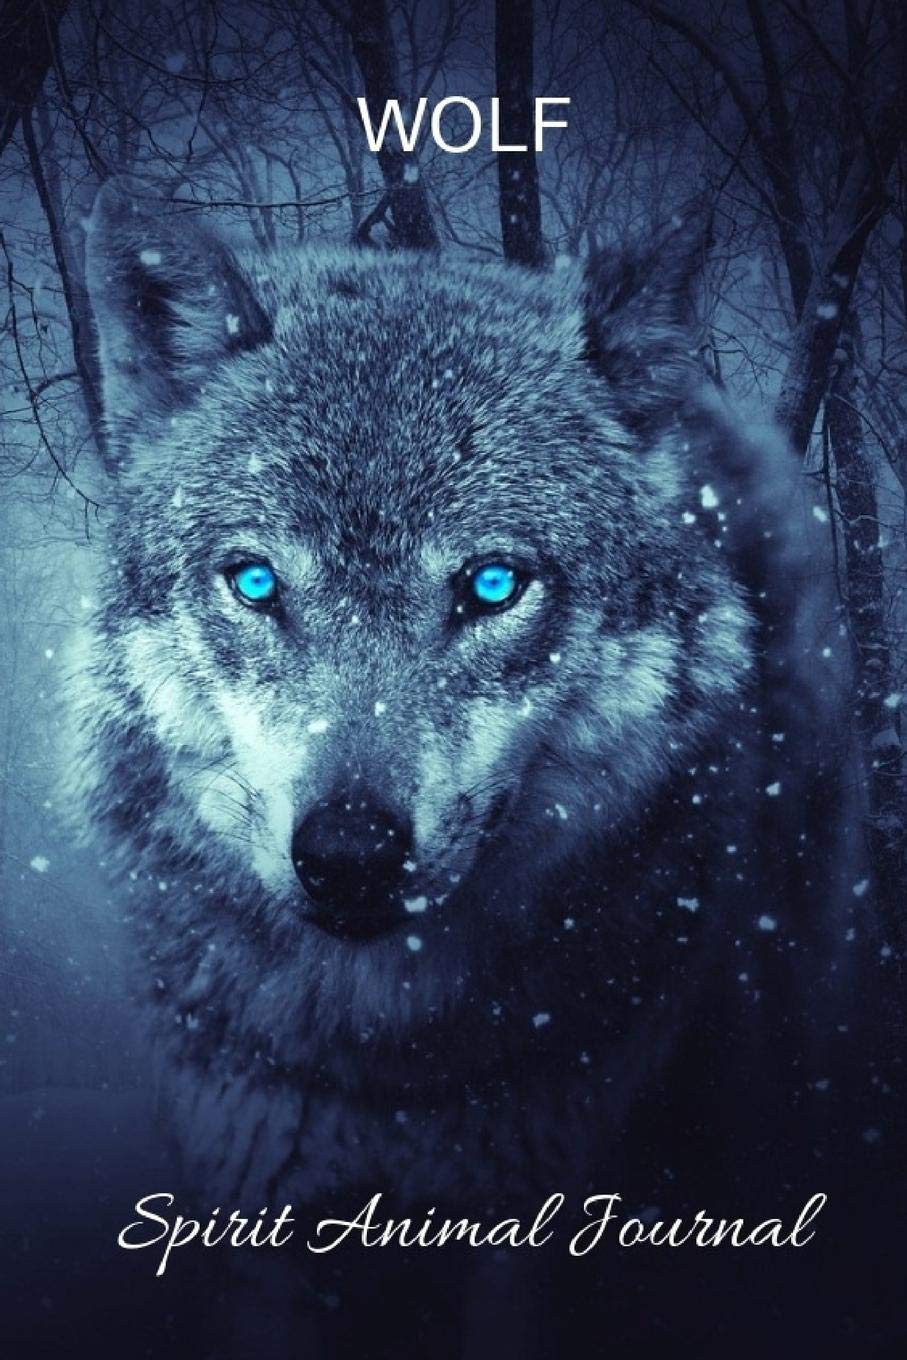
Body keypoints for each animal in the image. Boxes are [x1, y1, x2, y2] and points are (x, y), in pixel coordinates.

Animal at [72, 181, 858, 1345]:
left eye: (491, 585)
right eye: (256, 582)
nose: (349, 854)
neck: (387, 1064)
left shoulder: (531, 1224)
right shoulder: (255, 1211)